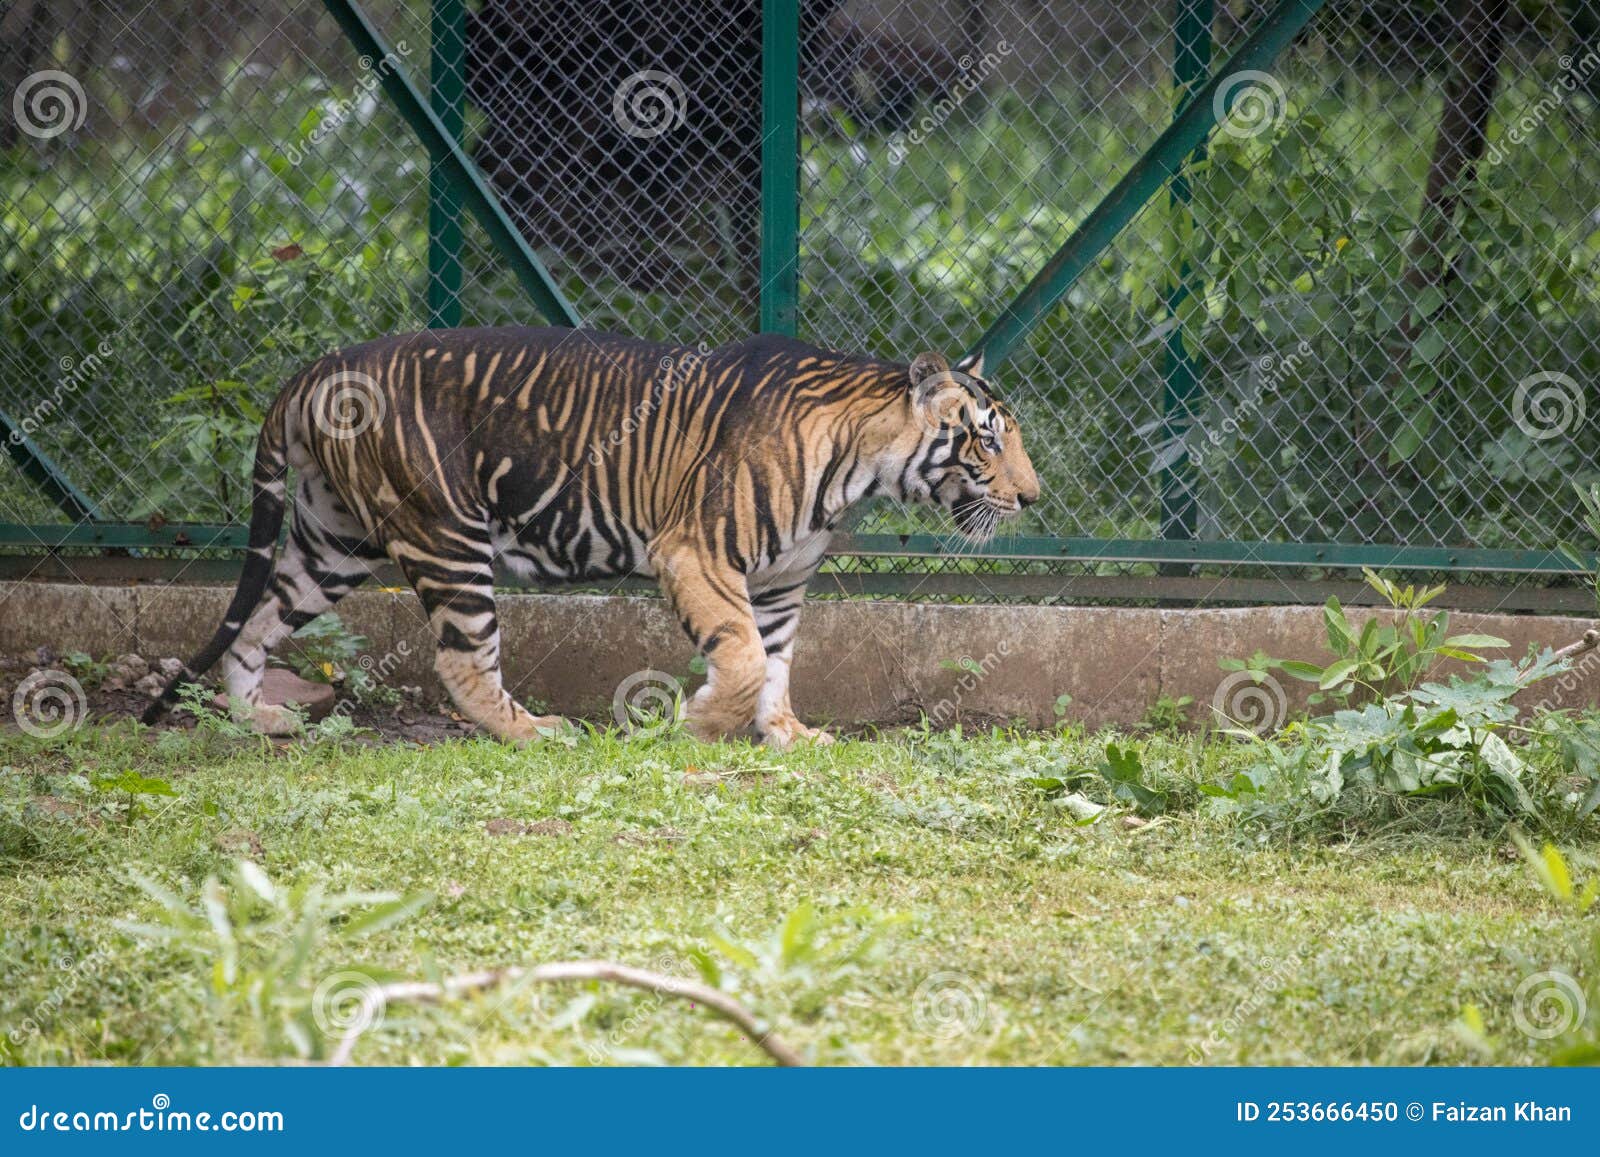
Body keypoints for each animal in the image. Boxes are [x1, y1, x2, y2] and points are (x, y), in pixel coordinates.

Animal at [142, 327, 1040, 747]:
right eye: (988, 439)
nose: (1033, 497)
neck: (859, 469)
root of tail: (316, 369)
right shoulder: (698, 550)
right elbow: (745, 658)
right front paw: (698, 723)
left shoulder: (782, 582)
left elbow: (778, 663)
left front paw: (786, 735)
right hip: (447, 533)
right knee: (462, 660)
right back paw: (535, 731)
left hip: (333, 541)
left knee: (254, 626)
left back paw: (256, 719)